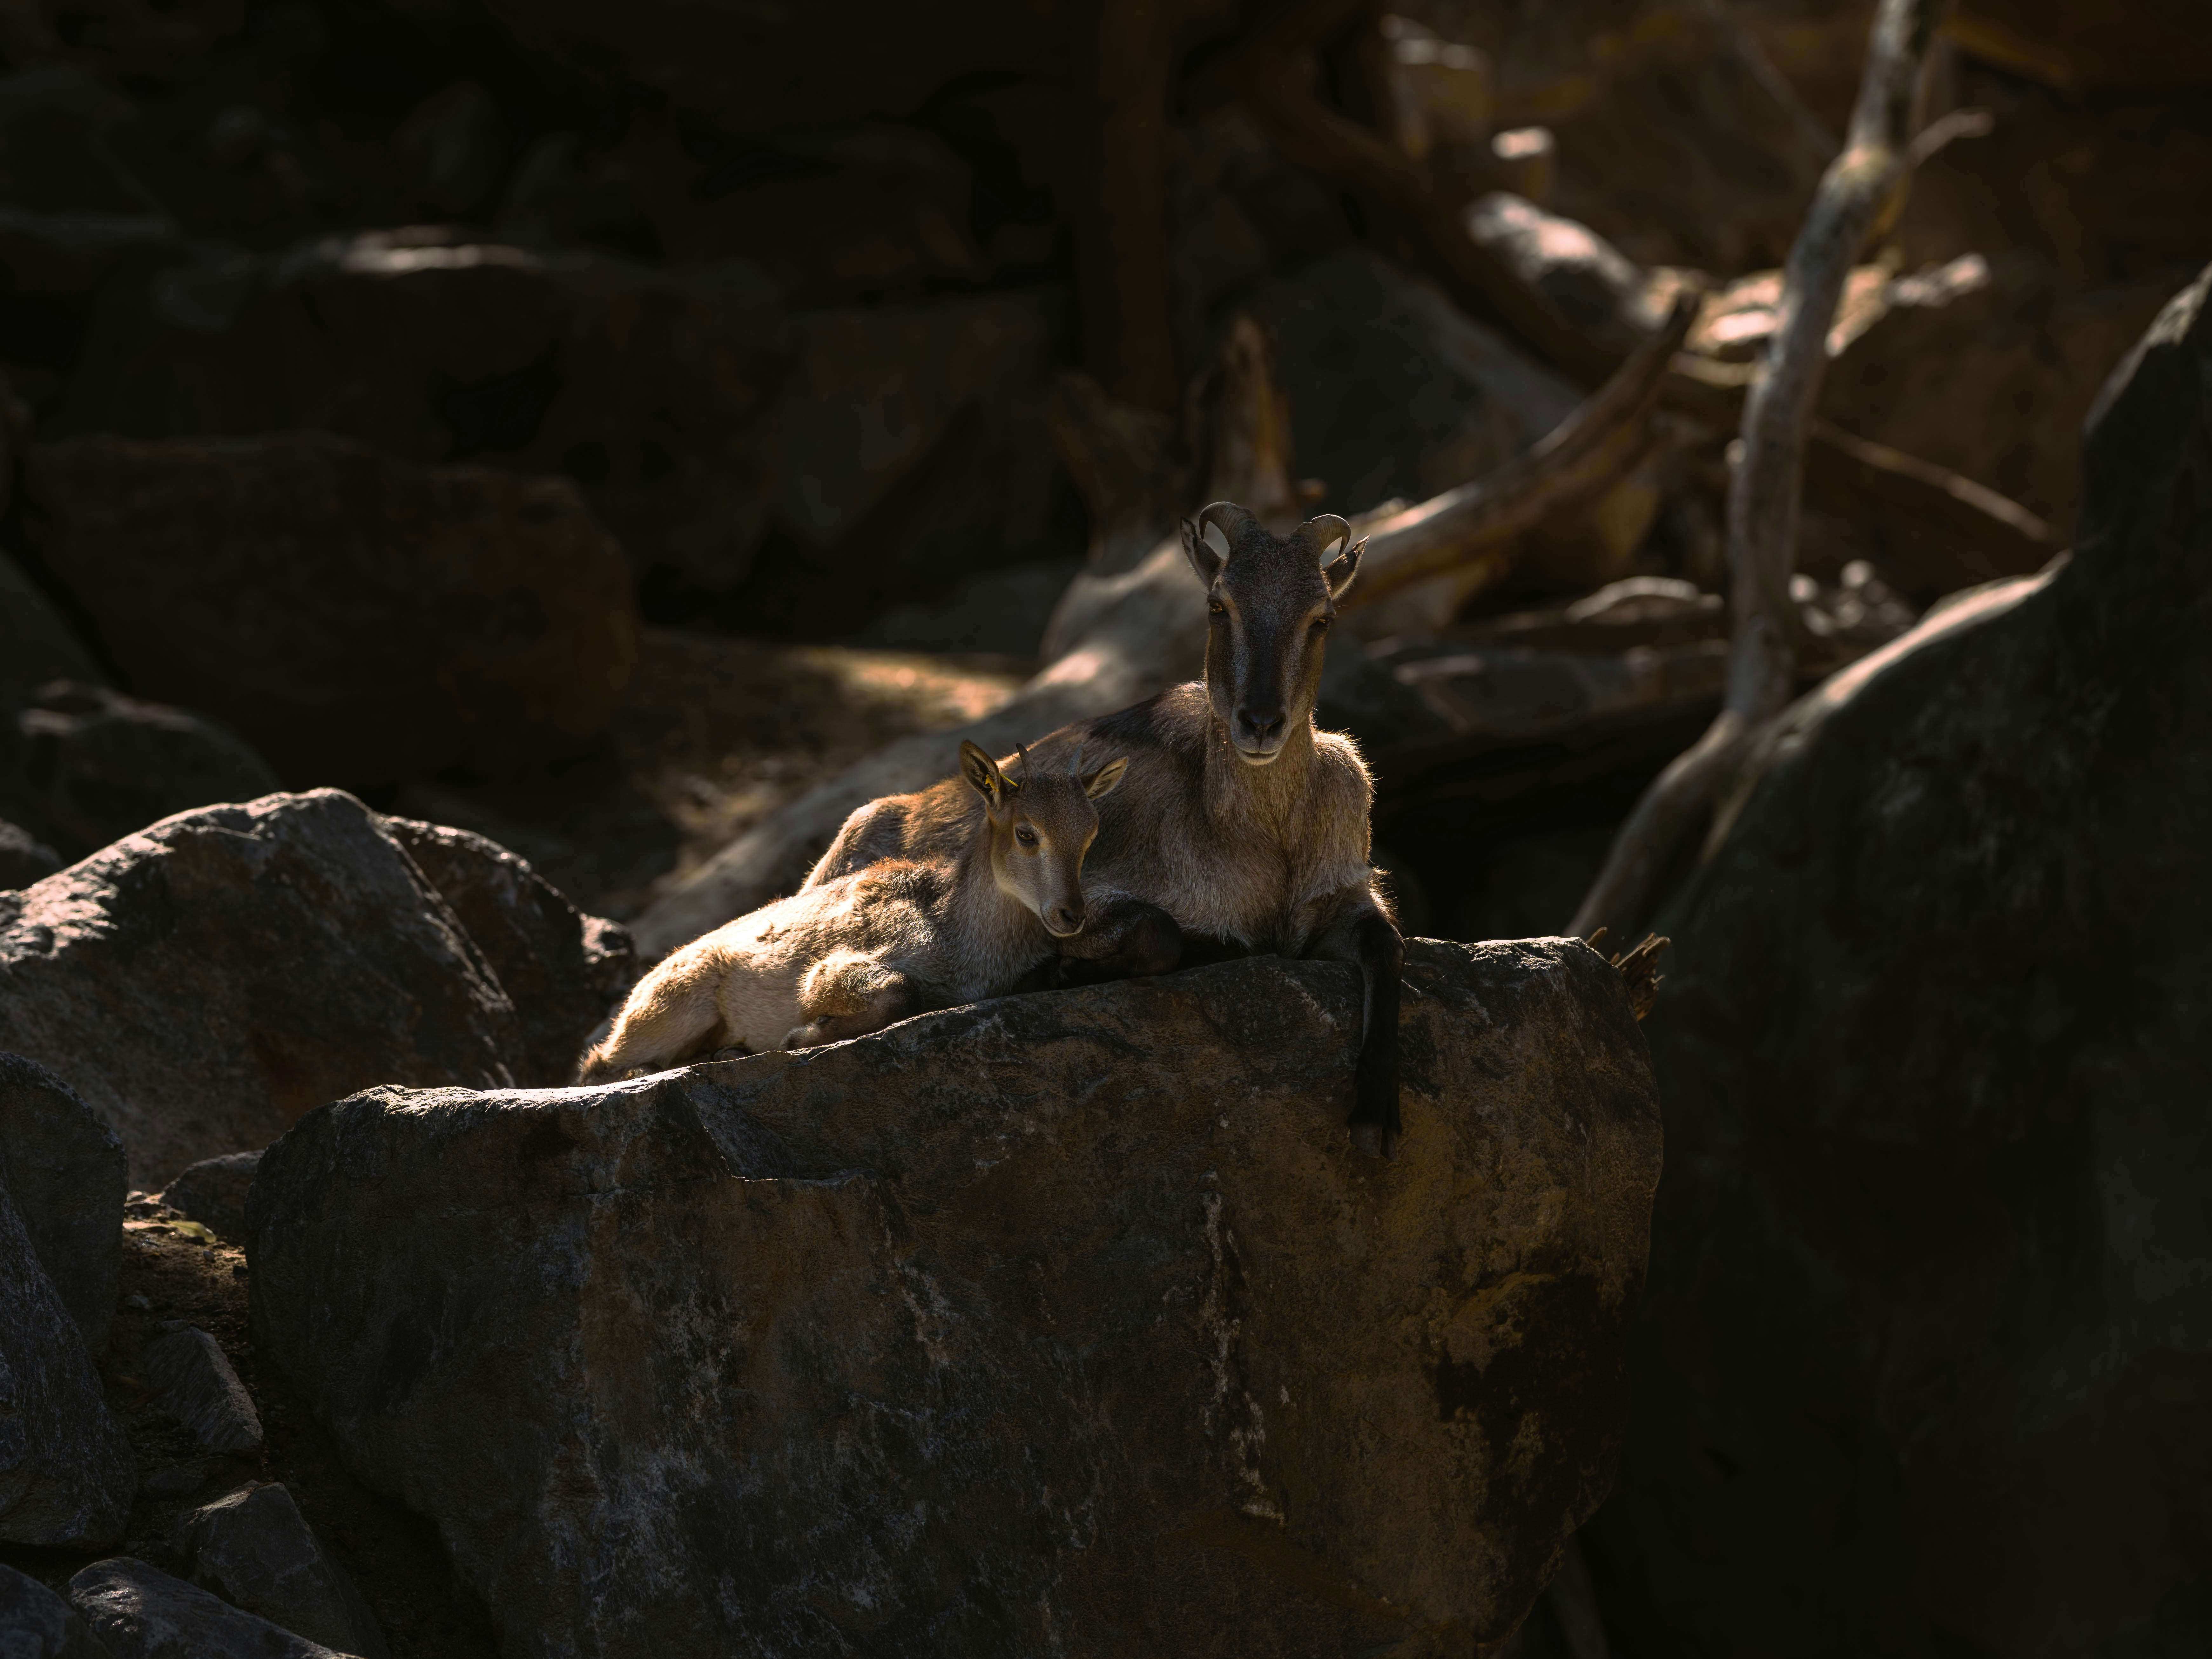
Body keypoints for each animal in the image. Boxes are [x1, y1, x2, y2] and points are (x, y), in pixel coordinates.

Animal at [578, 741, 1128, 1080]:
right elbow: (897, 991)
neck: (966, 938)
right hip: (678, 1007)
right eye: (1026, 832)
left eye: (1091, 834)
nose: (1070, 913)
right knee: (596, 1061)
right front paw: (803, 1034)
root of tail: (635, 994)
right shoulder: (834, 969)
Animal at [813, 502, 1404, 1154]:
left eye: (1321, 618)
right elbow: (1161, 932)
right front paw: (1060, 970)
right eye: (1217, 605)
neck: (1262, 834)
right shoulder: (1083, 890)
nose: (1259, 723)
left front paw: (1374, 1117)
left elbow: (1387, 946)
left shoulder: (1342, 891)